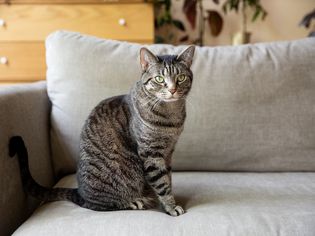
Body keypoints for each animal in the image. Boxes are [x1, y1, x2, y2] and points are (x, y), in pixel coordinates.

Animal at [9, 45, 195, 217]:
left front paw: (167, 201)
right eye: (159, 78)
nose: (172, 90)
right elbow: (161, 183)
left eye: (181, 77)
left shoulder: (168, 151)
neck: (171, 116)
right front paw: (170, 206)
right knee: (97, 205)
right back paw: (134, 201)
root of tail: (80, 193)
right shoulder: (151, 153)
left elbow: (168, 178)